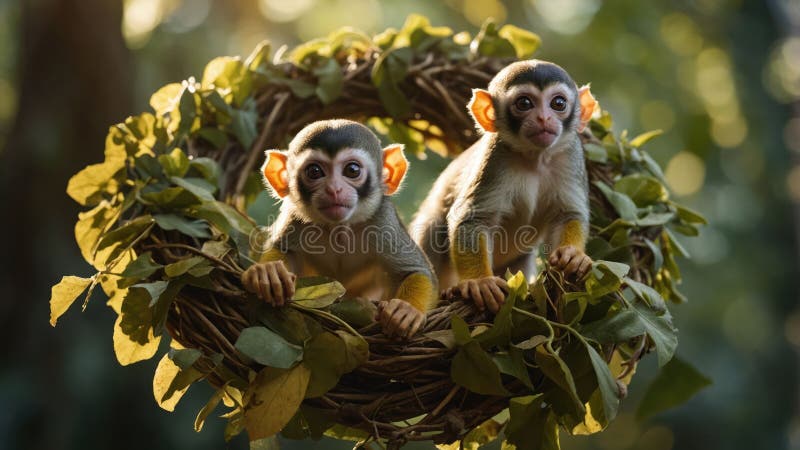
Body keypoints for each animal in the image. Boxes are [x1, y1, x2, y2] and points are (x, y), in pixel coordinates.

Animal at [241, 119, 437, 339]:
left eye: (352, 170)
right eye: (314, 172)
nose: (334, 189)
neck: (339, 229)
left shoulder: (384, 221)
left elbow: (414, 270)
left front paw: (407, 309)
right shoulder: (295, 218)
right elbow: (285, 251)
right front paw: (268, 272)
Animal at [410, 60, 598, 314]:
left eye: (558, 103)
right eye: (524, 103)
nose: (544, 118)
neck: (535, 159)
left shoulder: (571, 154)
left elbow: (567, 214)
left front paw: (573, 255)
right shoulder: (494, 157)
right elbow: (473, 219)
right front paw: (481, 282)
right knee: (433, 225)